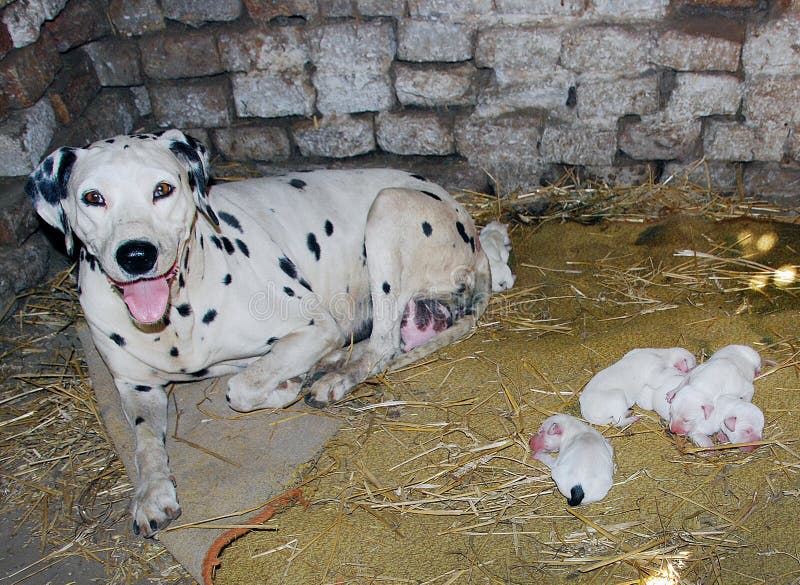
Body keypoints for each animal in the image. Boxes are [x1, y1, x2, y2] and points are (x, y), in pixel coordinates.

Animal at [26, 130, 494, 536]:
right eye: (93, 197)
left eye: (162, 189)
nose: (136, 254)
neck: (176, 315)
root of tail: (477, 243)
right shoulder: (135, 387)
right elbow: (145, 443)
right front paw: (151, 493)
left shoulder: (313, 325)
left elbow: (241, 387)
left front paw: (284, 385)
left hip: (387, 208)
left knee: (381, 344)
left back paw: (332, 377)